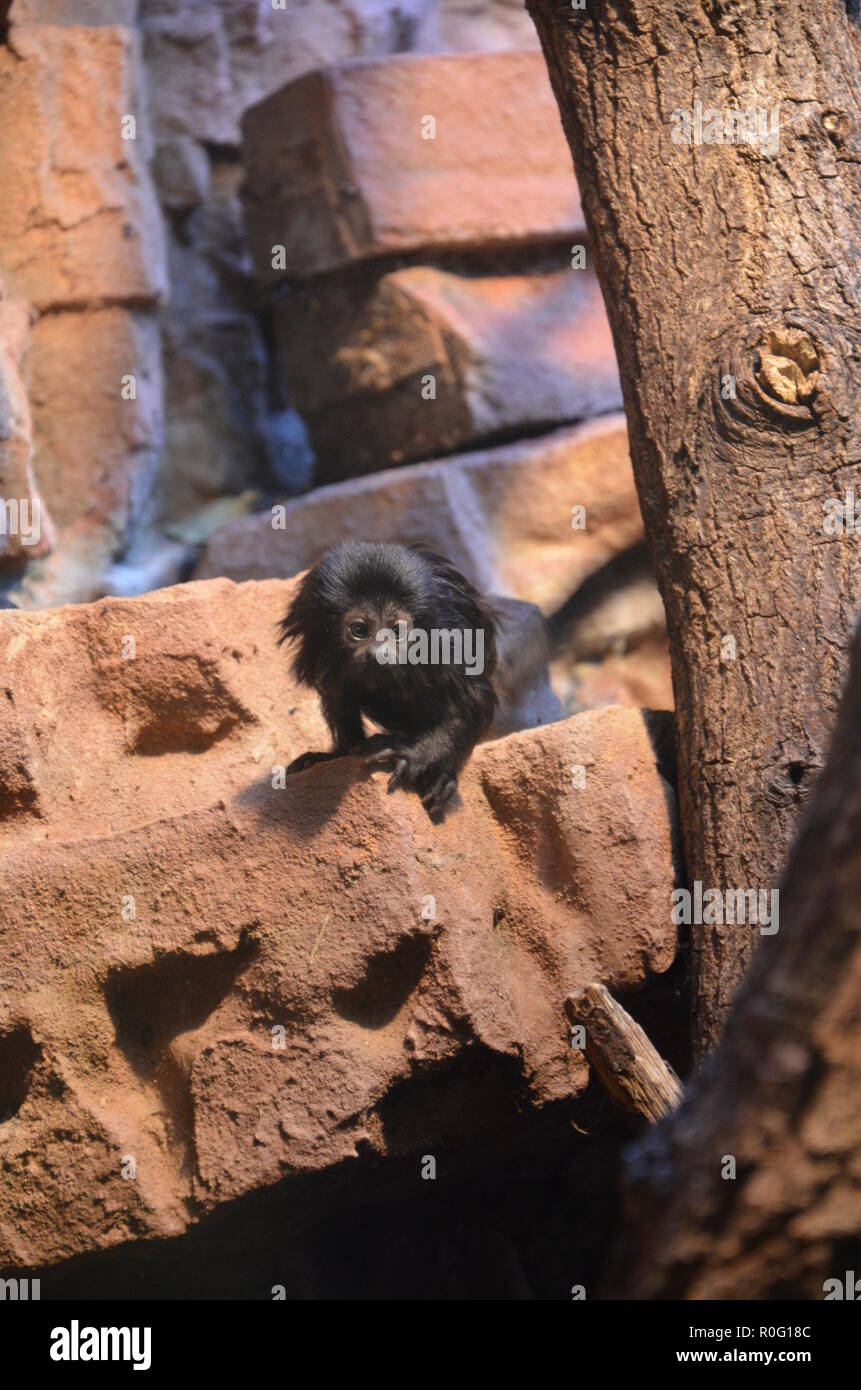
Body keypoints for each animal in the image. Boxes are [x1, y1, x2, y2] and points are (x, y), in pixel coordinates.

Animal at [278, 541, 498, 818]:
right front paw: (336, 755)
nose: (379, 652)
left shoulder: (453, 643)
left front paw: (412, 755)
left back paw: (443, 781)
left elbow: (472, 703)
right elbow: (340, 703)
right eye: (359, 630)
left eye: (396, 630)